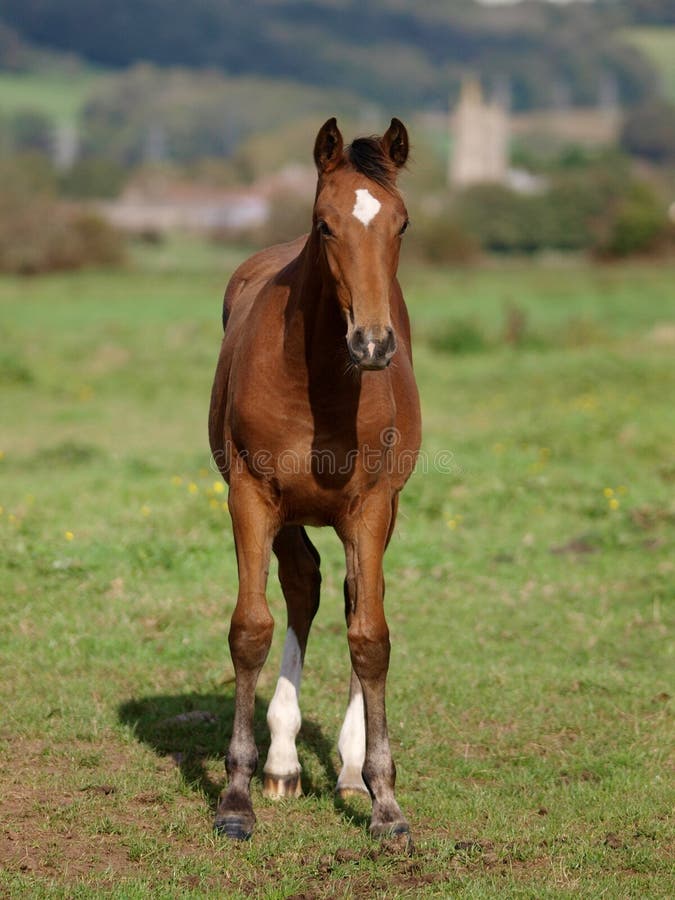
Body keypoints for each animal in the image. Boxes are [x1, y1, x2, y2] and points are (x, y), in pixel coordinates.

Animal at [208, 117, 421, 841]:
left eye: (402, 224)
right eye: (324, 225)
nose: (373, 344)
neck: (320, 383)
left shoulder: (371, 507)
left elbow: (371, 637)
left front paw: (386, 803)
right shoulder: (250, 496)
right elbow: (251, 629)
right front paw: (236, 795)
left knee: (353, 597)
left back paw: (350, 771)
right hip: (285, 512)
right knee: (303, 586)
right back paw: (280, 762)